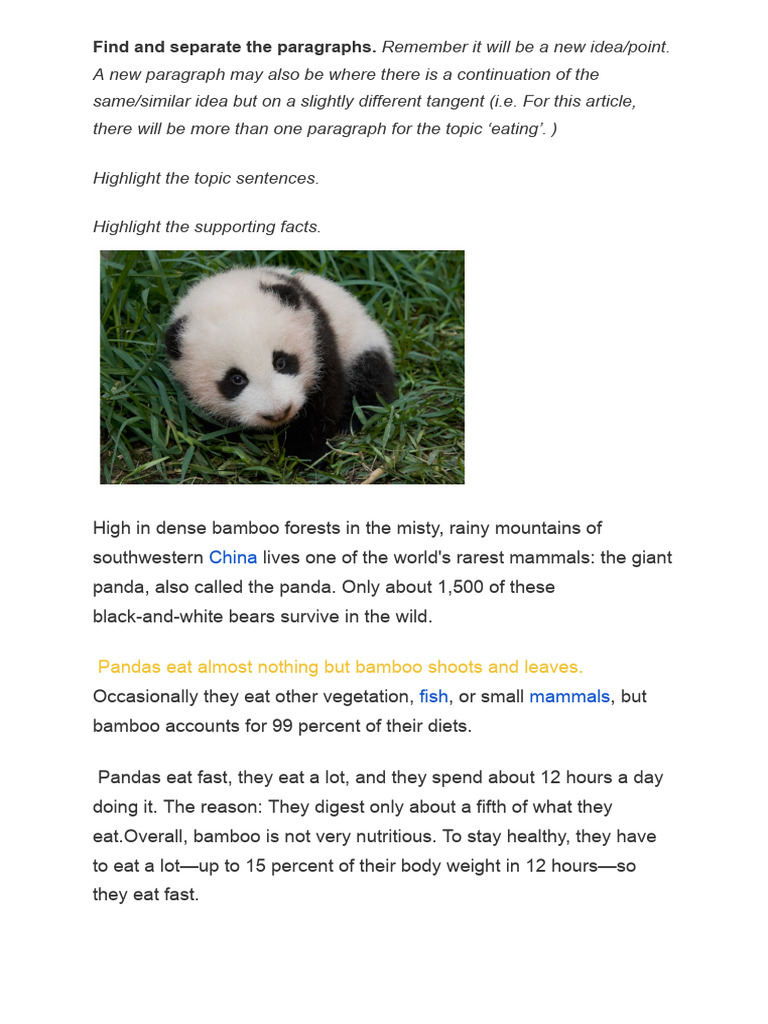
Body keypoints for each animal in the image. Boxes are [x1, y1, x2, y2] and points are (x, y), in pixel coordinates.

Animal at [165, 266, 395, 460]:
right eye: (236, 379)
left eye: (281, 362)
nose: (278, 413)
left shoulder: (318, 334)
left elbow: (324, 398)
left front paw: (308, 453)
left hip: (359, 341)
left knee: (370, 377)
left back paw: (355, 420)